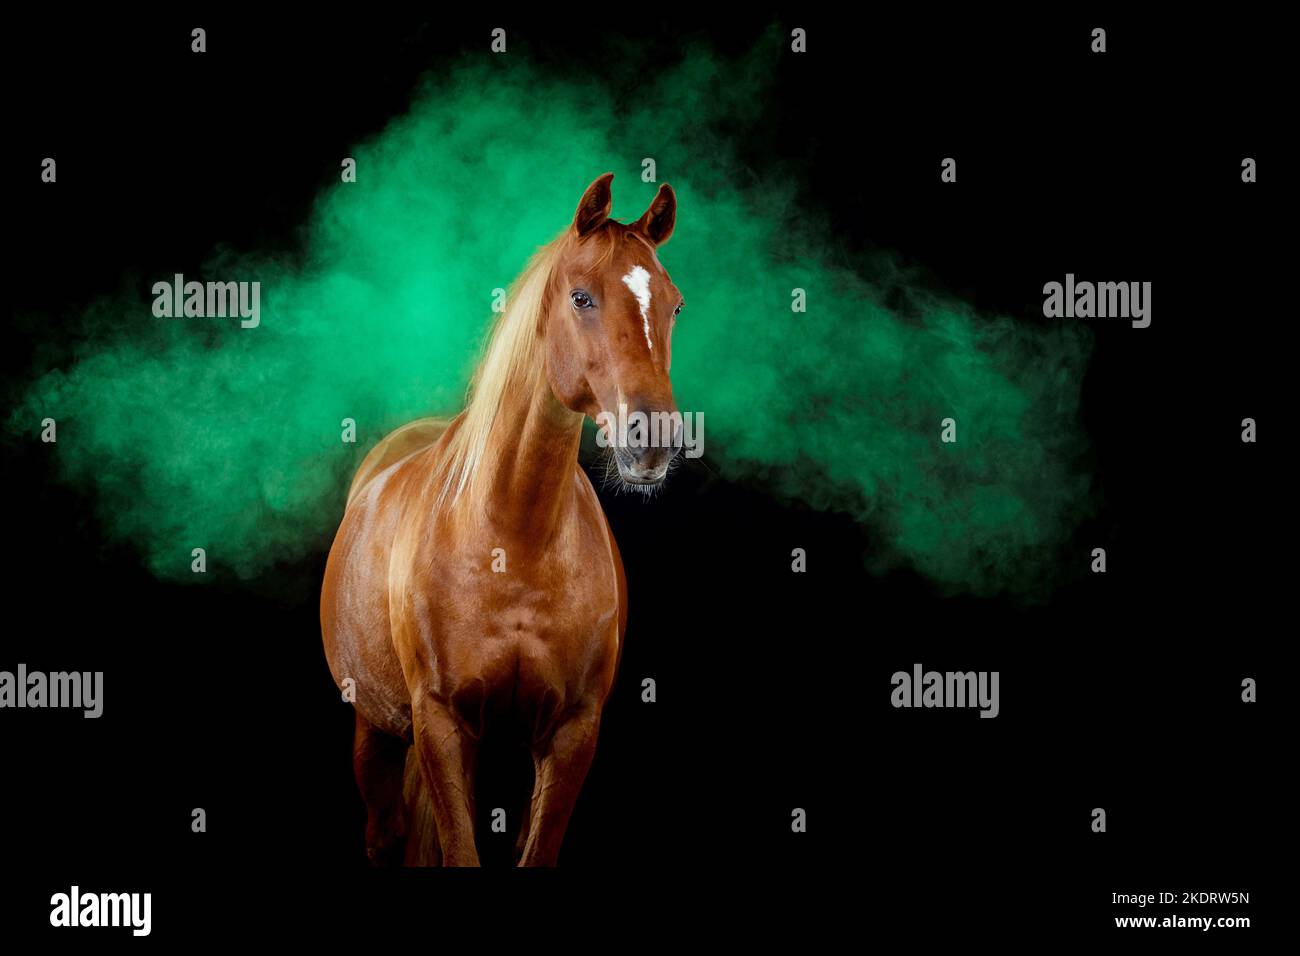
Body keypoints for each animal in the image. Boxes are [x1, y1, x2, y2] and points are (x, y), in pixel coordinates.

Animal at [320, 173, 684, 866]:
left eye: (674, 305)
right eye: (581, 297)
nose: (651, 440)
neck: (513, 539)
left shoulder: (571, 733)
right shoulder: (439, 724)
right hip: (375, 734)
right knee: (385, 834)